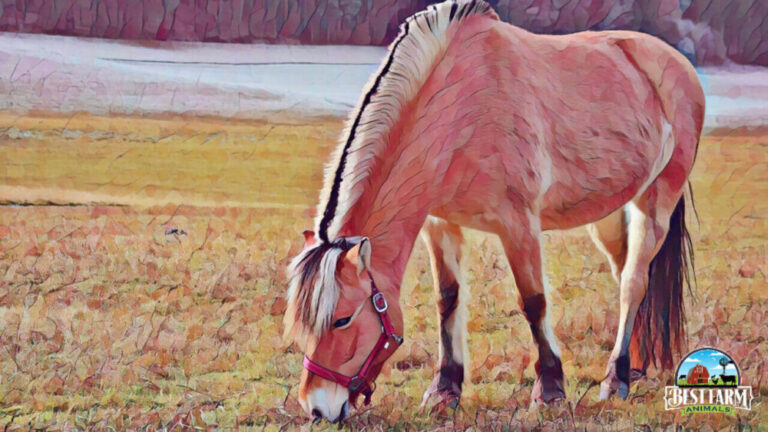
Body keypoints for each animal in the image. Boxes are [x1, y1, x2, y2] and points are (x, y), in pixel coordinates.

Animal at [283, 0, 703, 422]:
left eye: (342, 319)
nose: (317, 407)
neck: (465, 104)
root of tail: (677, 64)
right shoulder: (440, 223)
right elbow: (447, 299)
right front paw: (444, 389)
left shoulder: (518, 224)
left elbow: (533, 302)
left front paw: (550, 391)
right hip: (610, 215)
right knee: (628, 276)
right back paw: (635, 366)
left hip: (655, 202)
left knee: (633, 282)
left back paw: (615, 380)